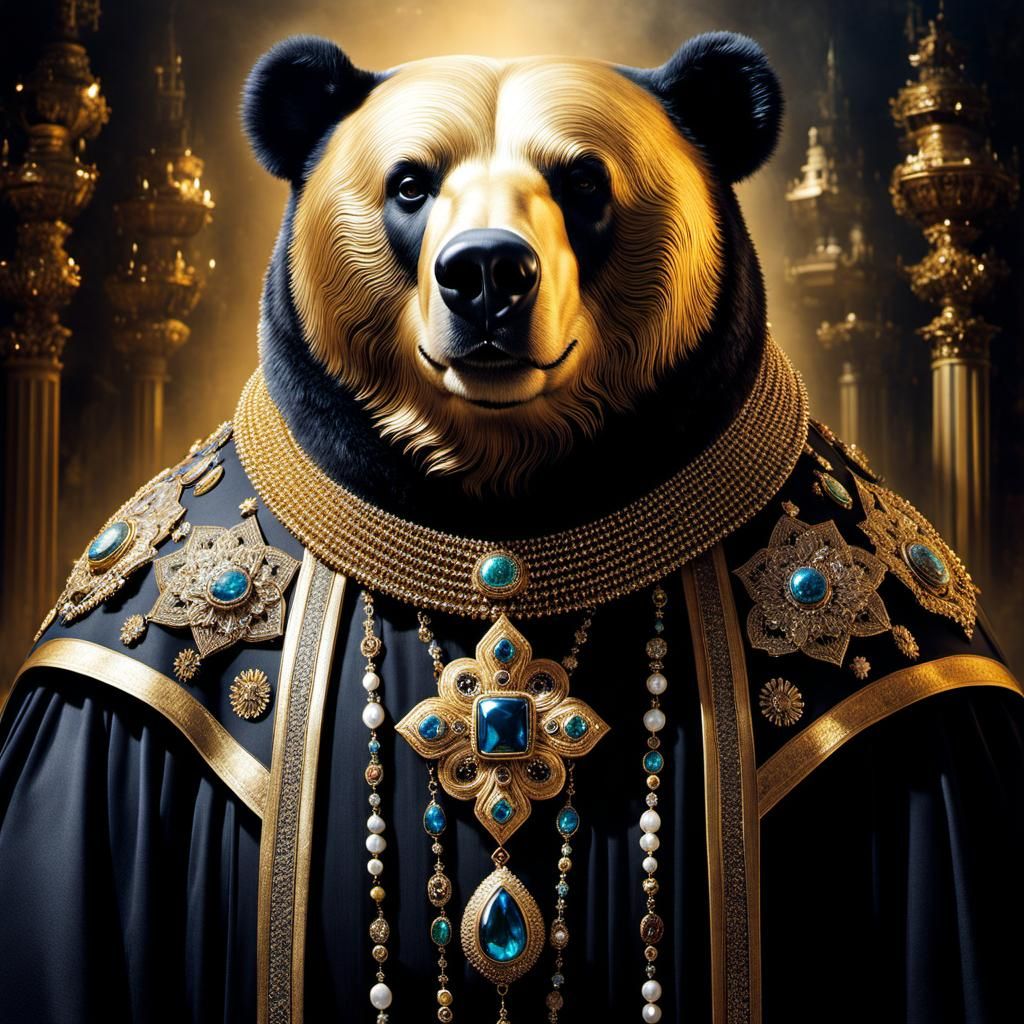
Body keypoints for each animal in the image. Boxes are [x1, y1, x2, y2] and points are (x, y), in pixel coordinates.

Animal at [1, 30, 1023, 1024]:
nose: (487, 271)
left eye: (584, 183)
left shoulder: (903, 676)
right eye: (411, 184)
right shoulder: (113, 687)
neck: (507, 515)